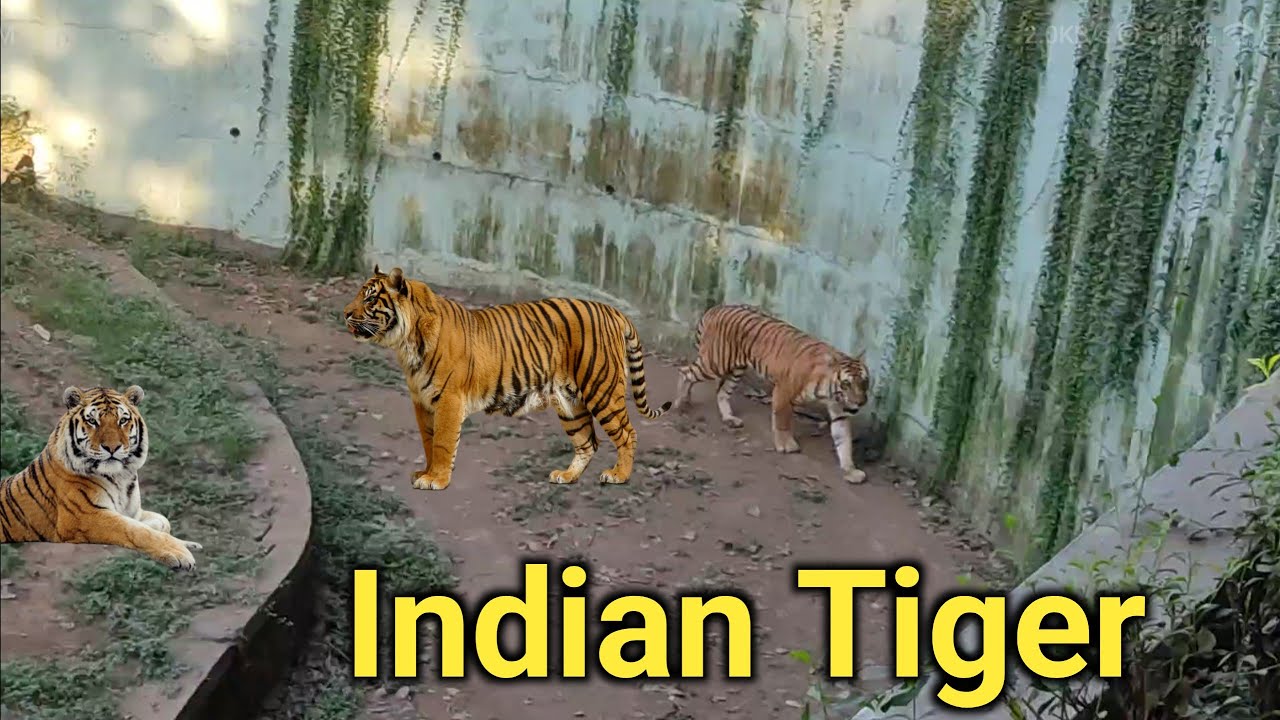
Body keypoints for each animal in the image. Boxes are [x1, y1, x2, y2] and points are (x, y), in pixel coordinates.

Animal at [0, 385, 202, 570]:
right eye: (92, 421)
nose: (112, 448)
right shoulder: (87, 516)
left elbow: (162, 521)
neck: (121, 476)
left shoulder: (133, 512)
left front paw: (189, 544)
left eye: (122, 420)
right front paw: (180, 553)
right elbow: (137, 530)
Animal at [342, 266, 672, 490]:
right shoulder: (421, 402)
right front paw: (425, 472)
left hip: (601, 390)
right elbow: (428, 441)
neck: (407, 343)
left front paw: (435, 480)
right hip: (569, 403)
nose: (344, 313)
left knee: (627, 434)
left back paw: (619, 475)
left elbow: (443, 442)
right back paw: (566, 476)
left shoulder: (449, 400)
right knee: (587, 442)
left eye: (369, 299)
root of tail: (615, 311)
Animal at [671, 304, 872, 484]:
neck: (829, 391)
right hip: (715, 363)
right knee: (685, 372)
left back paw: (729, 418)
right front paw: (786, 445)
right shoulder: (783, 391)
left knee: (721, 391)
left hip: (736, 370)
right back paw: (680, 403)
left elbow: (843, 441)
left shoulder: (840, 411)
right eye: (846, 384)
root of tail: (716, 308)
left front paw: (850, 470)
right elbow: (782, 421)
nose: (860, 402)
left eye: (865, 381)